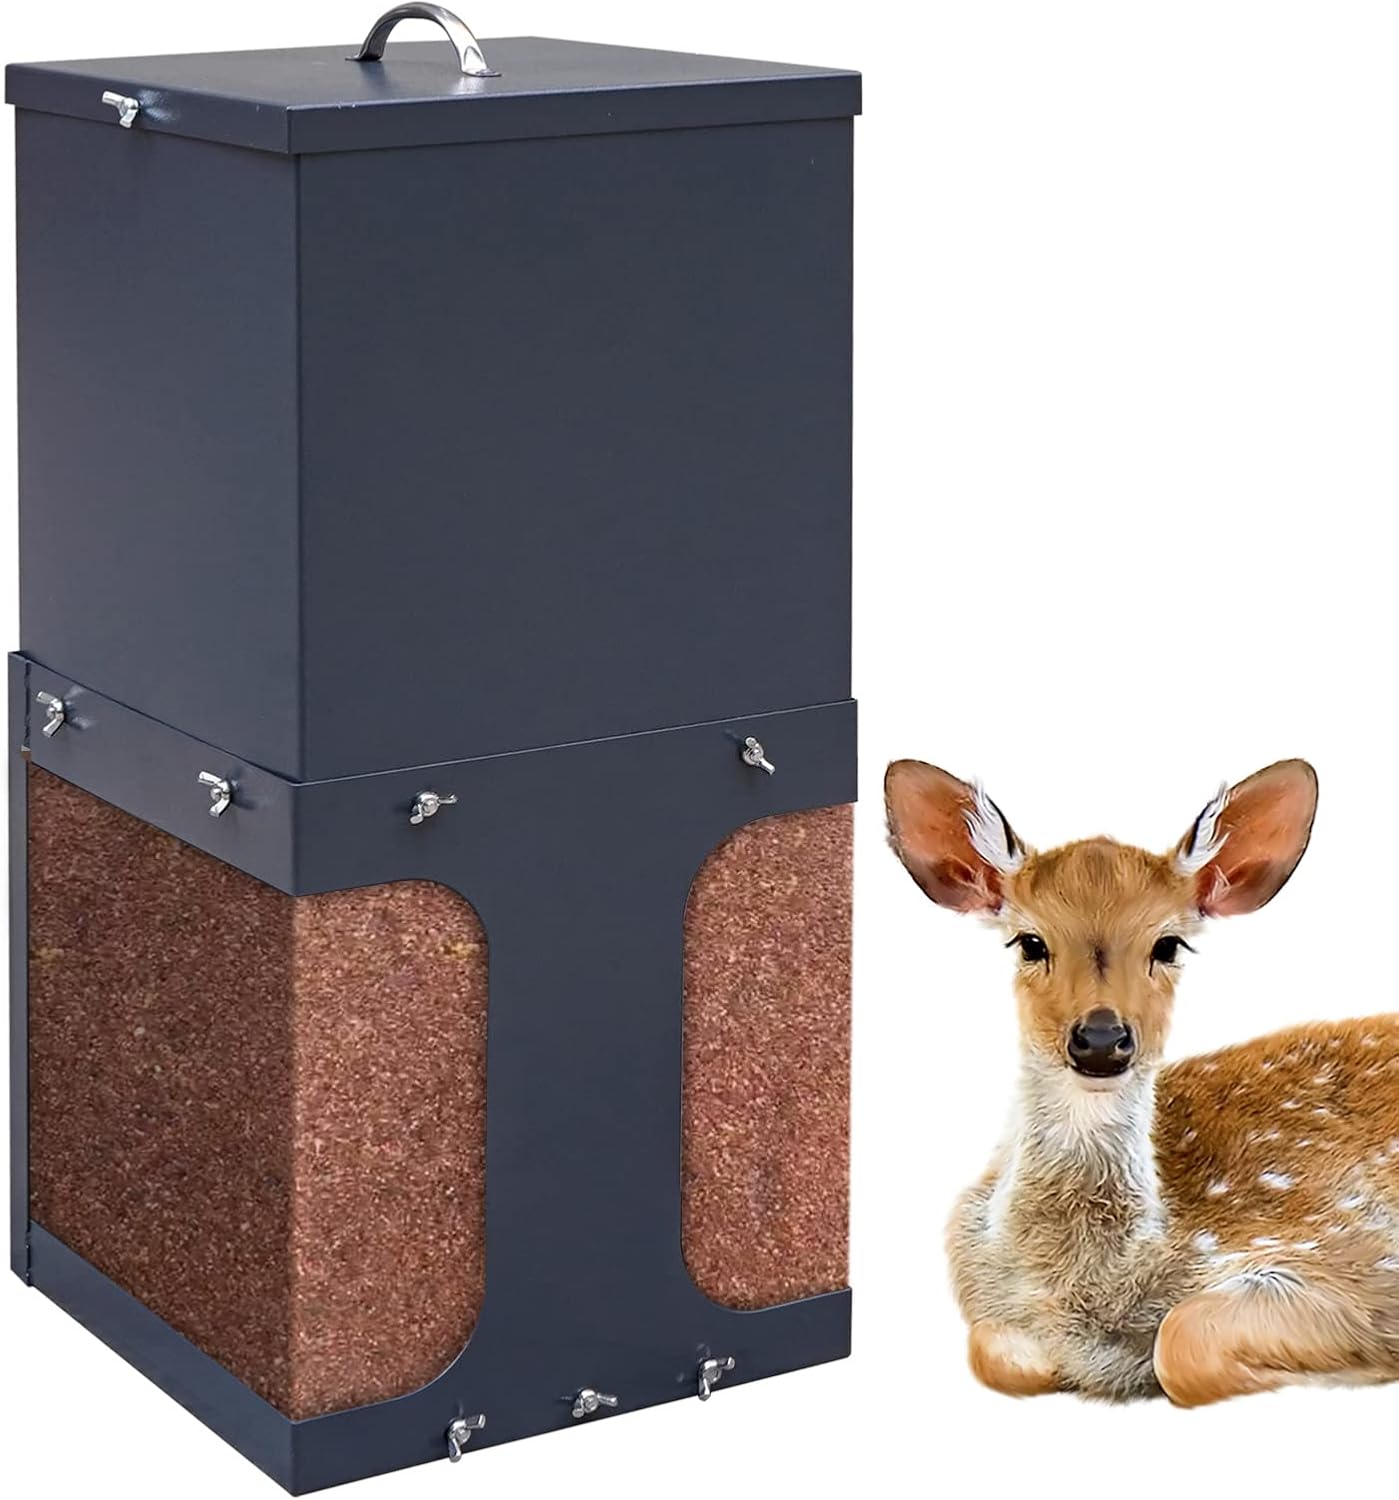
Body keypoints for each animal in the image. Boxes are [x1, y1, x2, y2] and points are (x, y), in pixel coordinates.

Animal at [885, 757, 1399, 1405]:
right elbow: (993, 1354)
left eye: (1168, 943)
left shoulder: (1349, 1252)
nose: (1102, 1038)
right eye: (1030, 942)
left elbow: (1179, 1345)